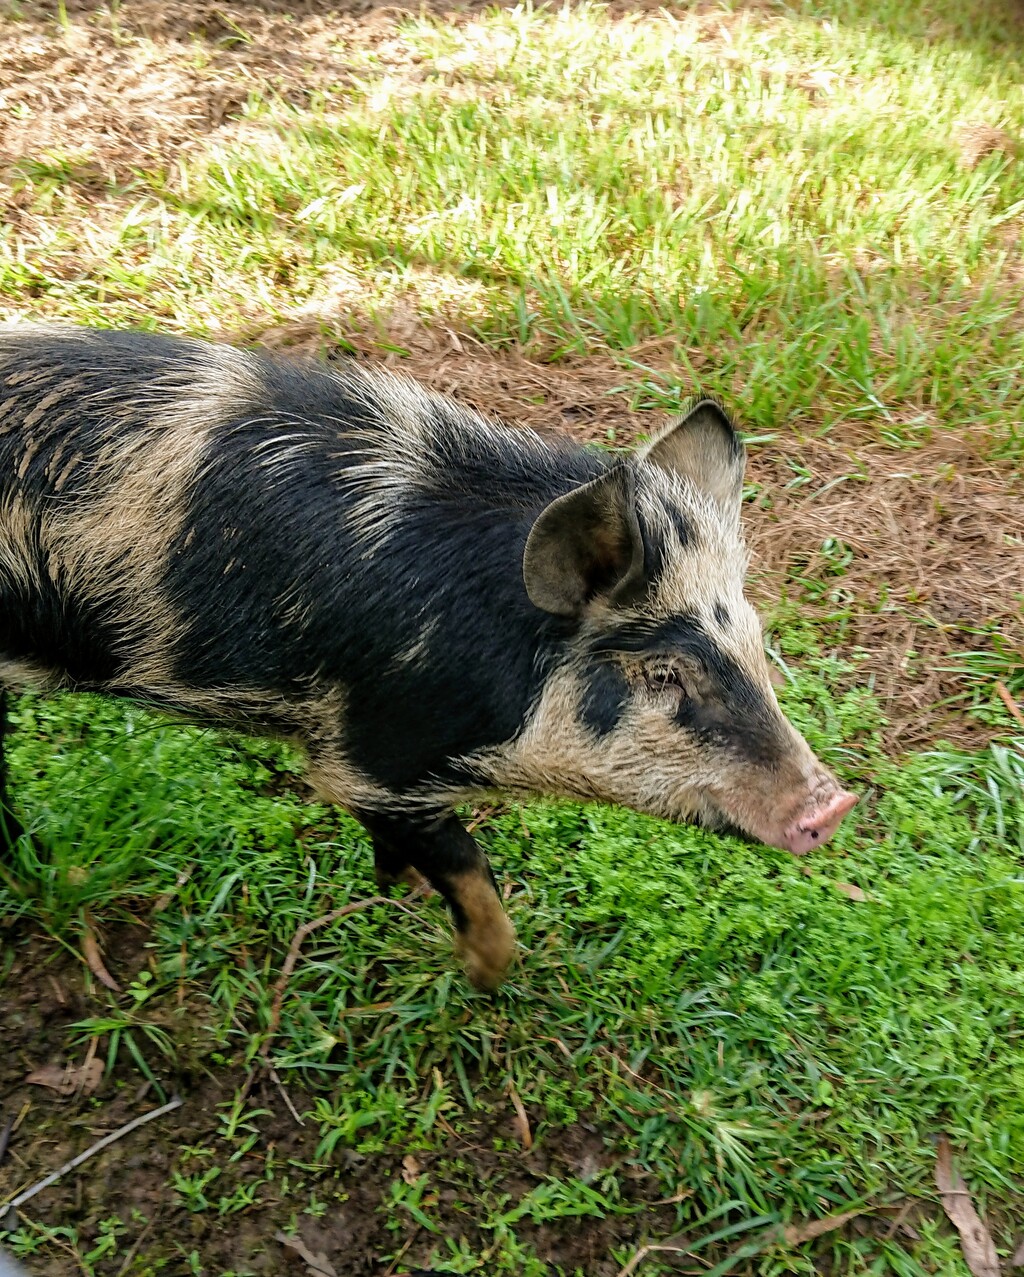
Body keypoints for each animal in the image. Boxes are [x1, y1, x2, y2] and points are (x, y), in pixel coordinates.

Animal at [0, 325, 857, 988]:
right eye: (662, 673)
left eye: (753, 642)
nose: (833, 803)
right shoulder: (365, 756)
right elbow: (465, 860)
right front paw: (486, 973)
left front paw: (397, 889)